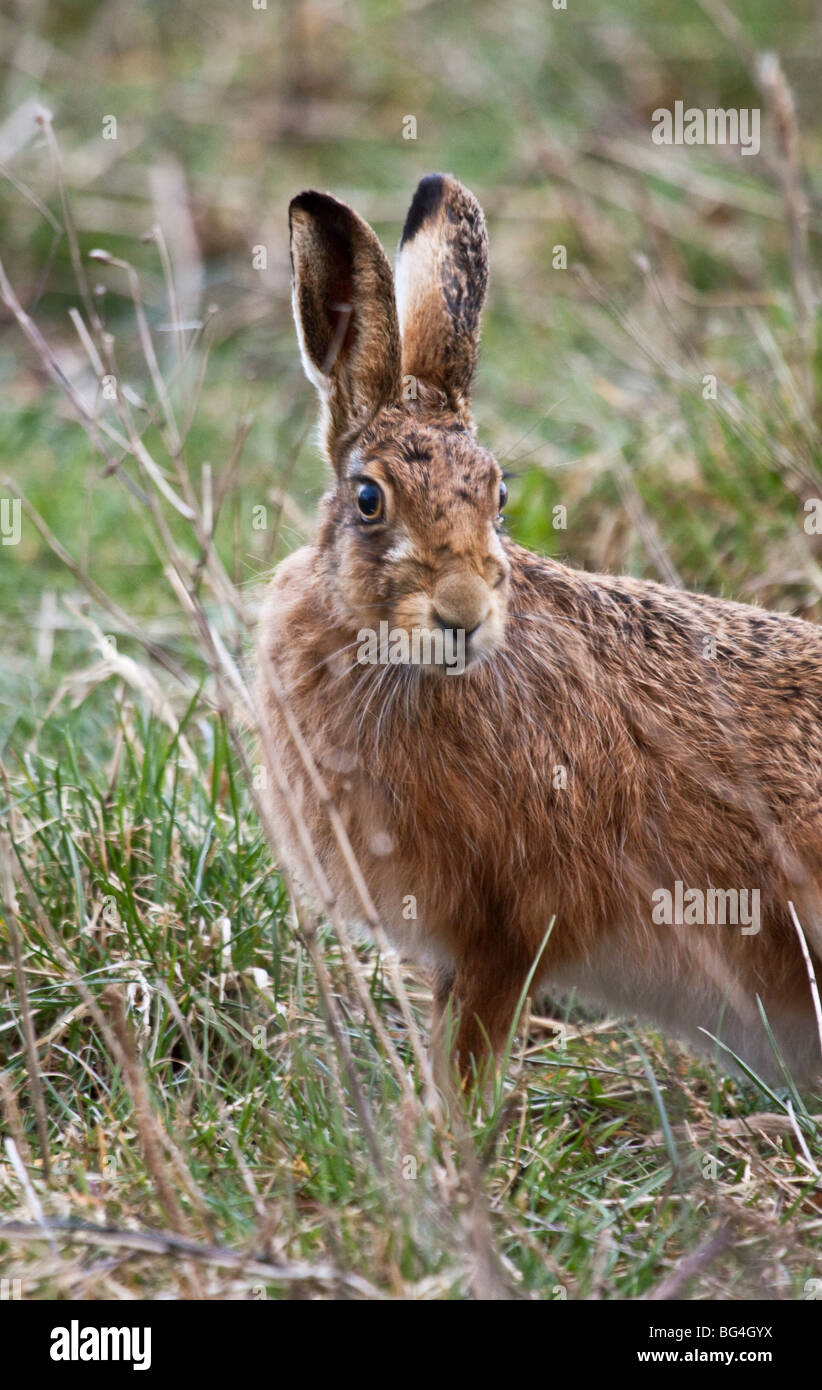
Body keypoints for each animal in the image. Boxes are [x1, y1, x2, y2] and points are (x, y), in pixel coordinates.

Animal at [256, 173, 822, 1090]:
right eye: (369, 499)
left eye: (498, 495)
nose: (463, 614)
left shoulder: (504, 932)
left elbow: (464, 1069)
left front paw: (445, 1135)